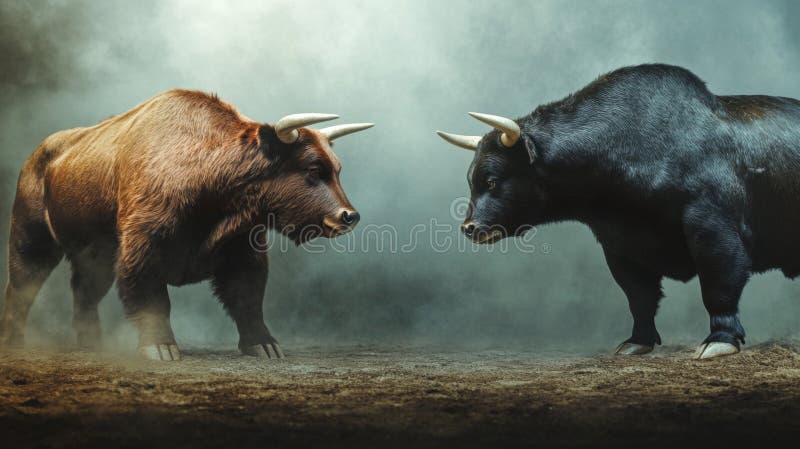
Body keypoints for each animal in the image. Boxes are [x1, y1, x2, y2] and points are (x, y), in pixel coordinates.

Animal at [0, 89, 372, 361]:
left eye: (337, 169)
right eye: (312, 169)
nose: (348, 216)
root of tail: (36, 155)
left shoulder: (243, 250)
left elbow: (248, 300)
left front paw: (265, 345)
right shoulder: (142, 248)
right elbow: (152, 301)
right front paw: (160, 348)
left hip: (96, 255)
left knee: (84, 291)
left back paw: (92, 344)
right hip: (31, 239)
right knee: (22, 285)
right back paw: (15, 342)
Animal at [437, 63, 800, 359]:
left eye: (493, 180)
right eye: (472, 180)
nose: (470, 228)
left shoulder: (714, 231)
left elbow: (719, 287)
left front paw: (720, 340)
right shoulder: (619, 245)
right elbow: (639, 298)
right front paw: (637, 341)